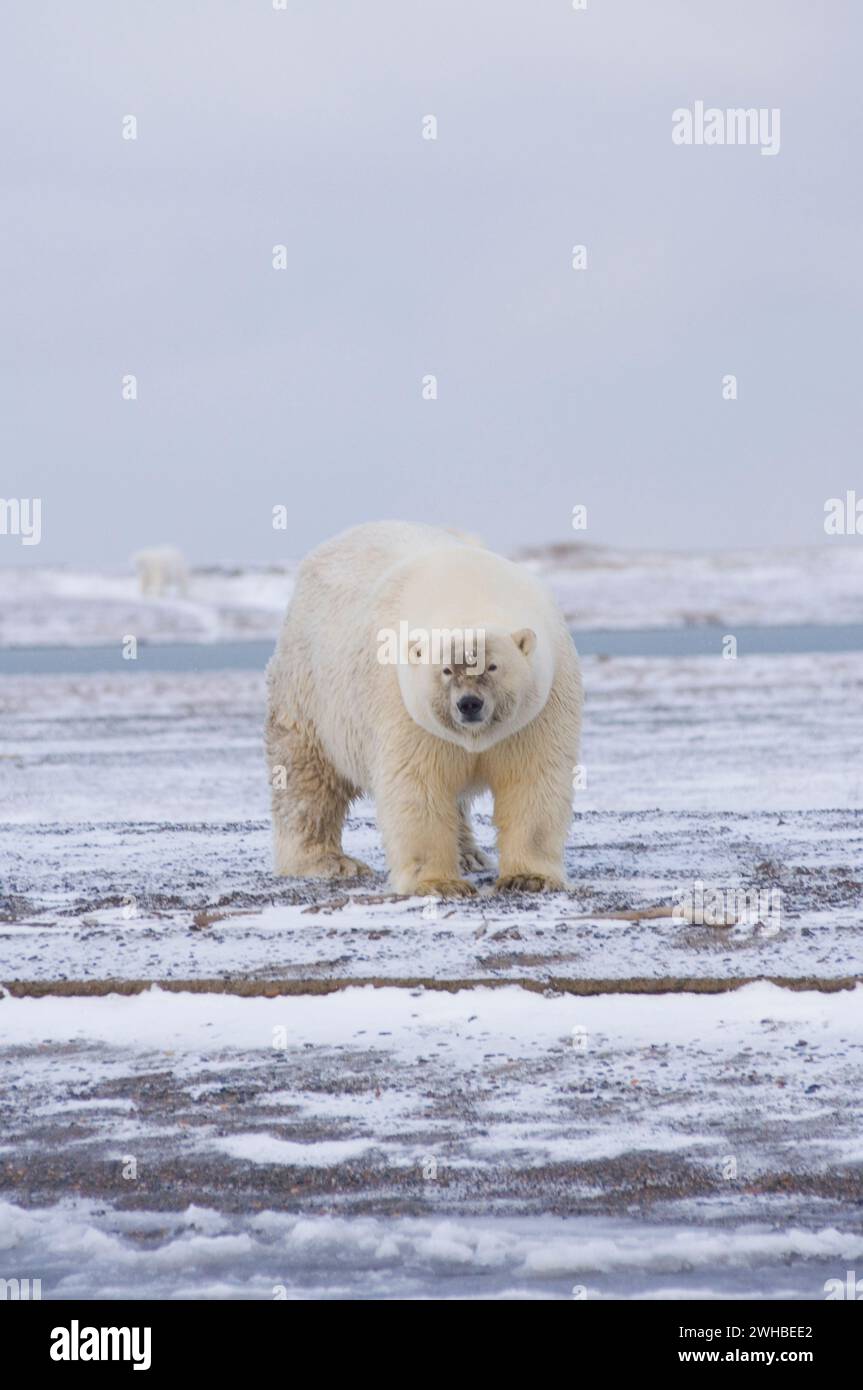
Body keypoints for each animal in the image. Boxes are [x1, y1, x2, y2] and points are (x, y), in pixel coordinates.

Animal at [265, 522, 582, 897]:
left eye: (492, 666)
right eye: (446, 670)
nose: (469, 704)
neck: (469, 591)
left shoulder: (539, 708)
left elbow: (533, 780)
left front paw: (529, 877)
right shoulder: (403, 705)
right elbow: (418, 785)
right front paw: (439, 883)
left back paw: (469, 855)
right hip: (311, 687)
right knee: (307, 775)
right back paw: (329, 862)